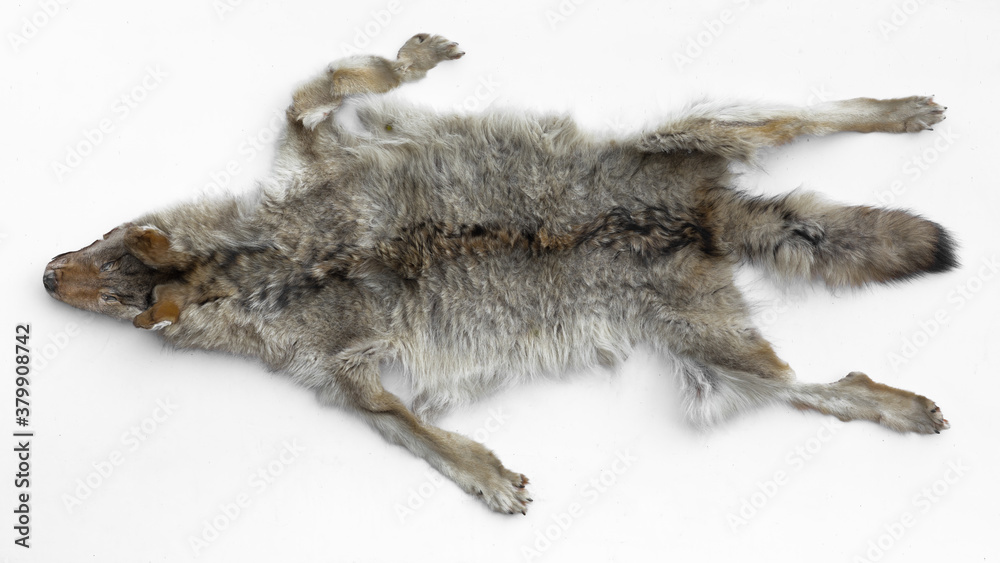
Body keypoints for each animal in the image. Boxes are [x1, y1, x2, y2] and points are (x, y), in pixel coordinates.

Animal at [43, 34, 955, 515]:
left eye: (121, 288)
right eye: (99, 249)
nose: (48, 277)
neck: (257, 264)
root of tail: (708, 222)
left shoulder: (312, 155)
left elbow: (350, 76)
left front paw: (414, 56)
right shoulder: (343, 373)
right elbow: (411, 426)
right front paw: (482, 471)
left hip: (700, 138)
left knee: (810, 123)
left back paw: (897, 116)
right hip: (708, 335)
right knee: (804, 382)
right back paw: (891, 398)